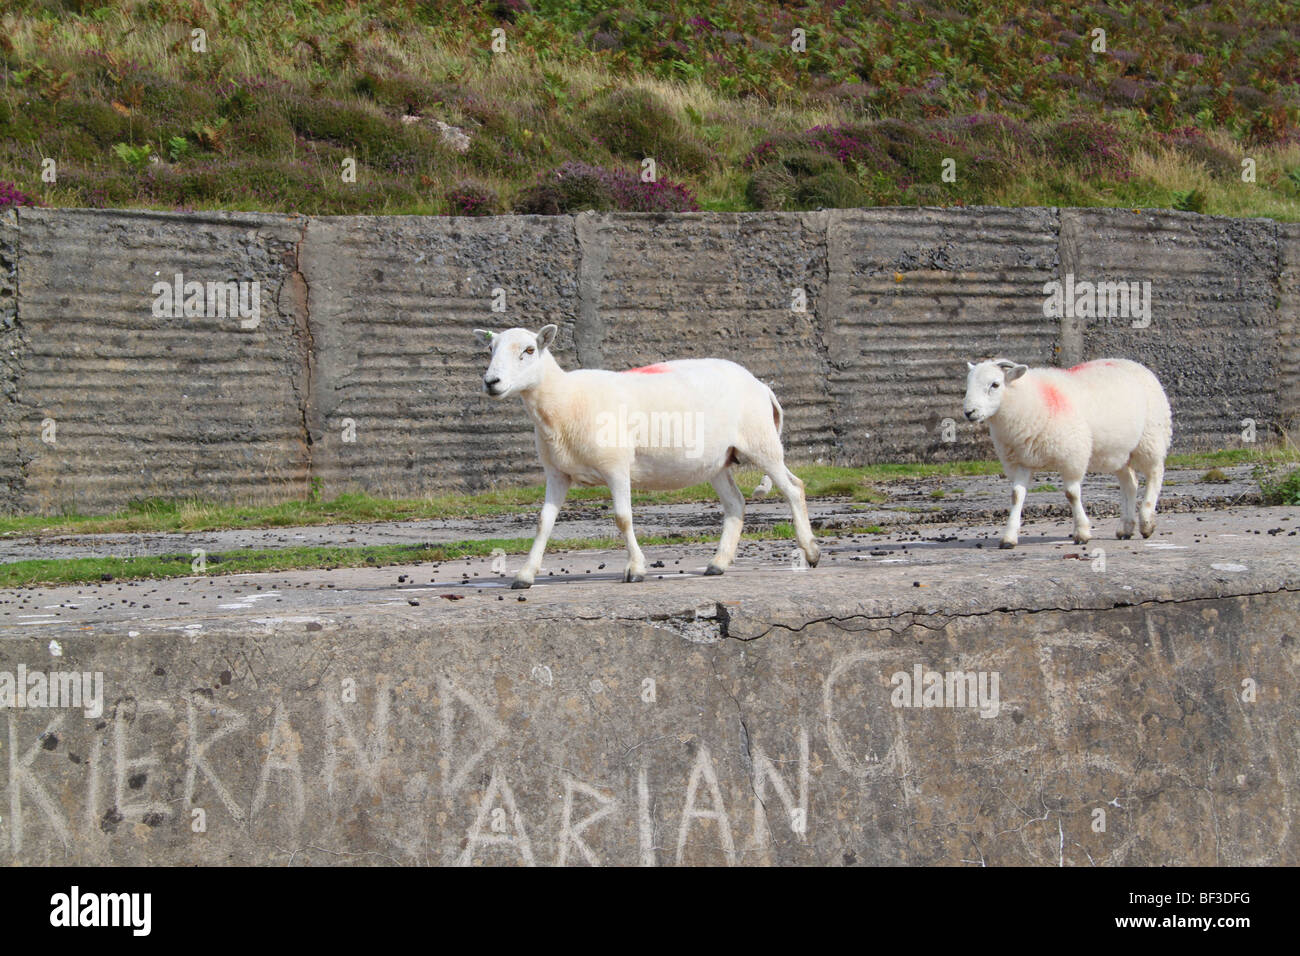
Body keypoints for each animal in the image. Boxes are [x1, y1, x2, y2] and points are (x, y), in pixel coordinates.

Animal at [475, 324, 820, 587]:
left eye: (529, 350)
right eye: (490, 348)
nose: (491, 382)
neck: (563, 400)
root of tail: (761, 385)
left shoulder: (616, 467)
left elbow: (622, 518)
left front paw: (636, 569)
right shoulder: (557, 472)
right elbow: (543, 522)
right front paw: (525, 575)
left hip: (762, 442)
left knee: (794, 488)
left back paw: (811, 551)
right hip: (718, 460)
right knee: (736, 503)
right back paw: (718, 563)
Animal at [962, 358, 1172, 549]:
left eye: (995, 384)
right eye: (968, 384)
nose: (968, 412)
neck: (1031, 399)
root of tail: (1135, 363)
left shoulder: (1072, 456)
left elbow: (1071, 494)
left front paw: (1082, 533)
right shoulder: (1022, 460)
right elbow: (1016, 495)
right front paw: (1009, 537)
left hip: (1150, 439)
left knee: (1155, 474)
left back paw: (1146, 522)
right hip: (1118, 451)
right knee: (1130, 483)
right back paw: (1126, 528)